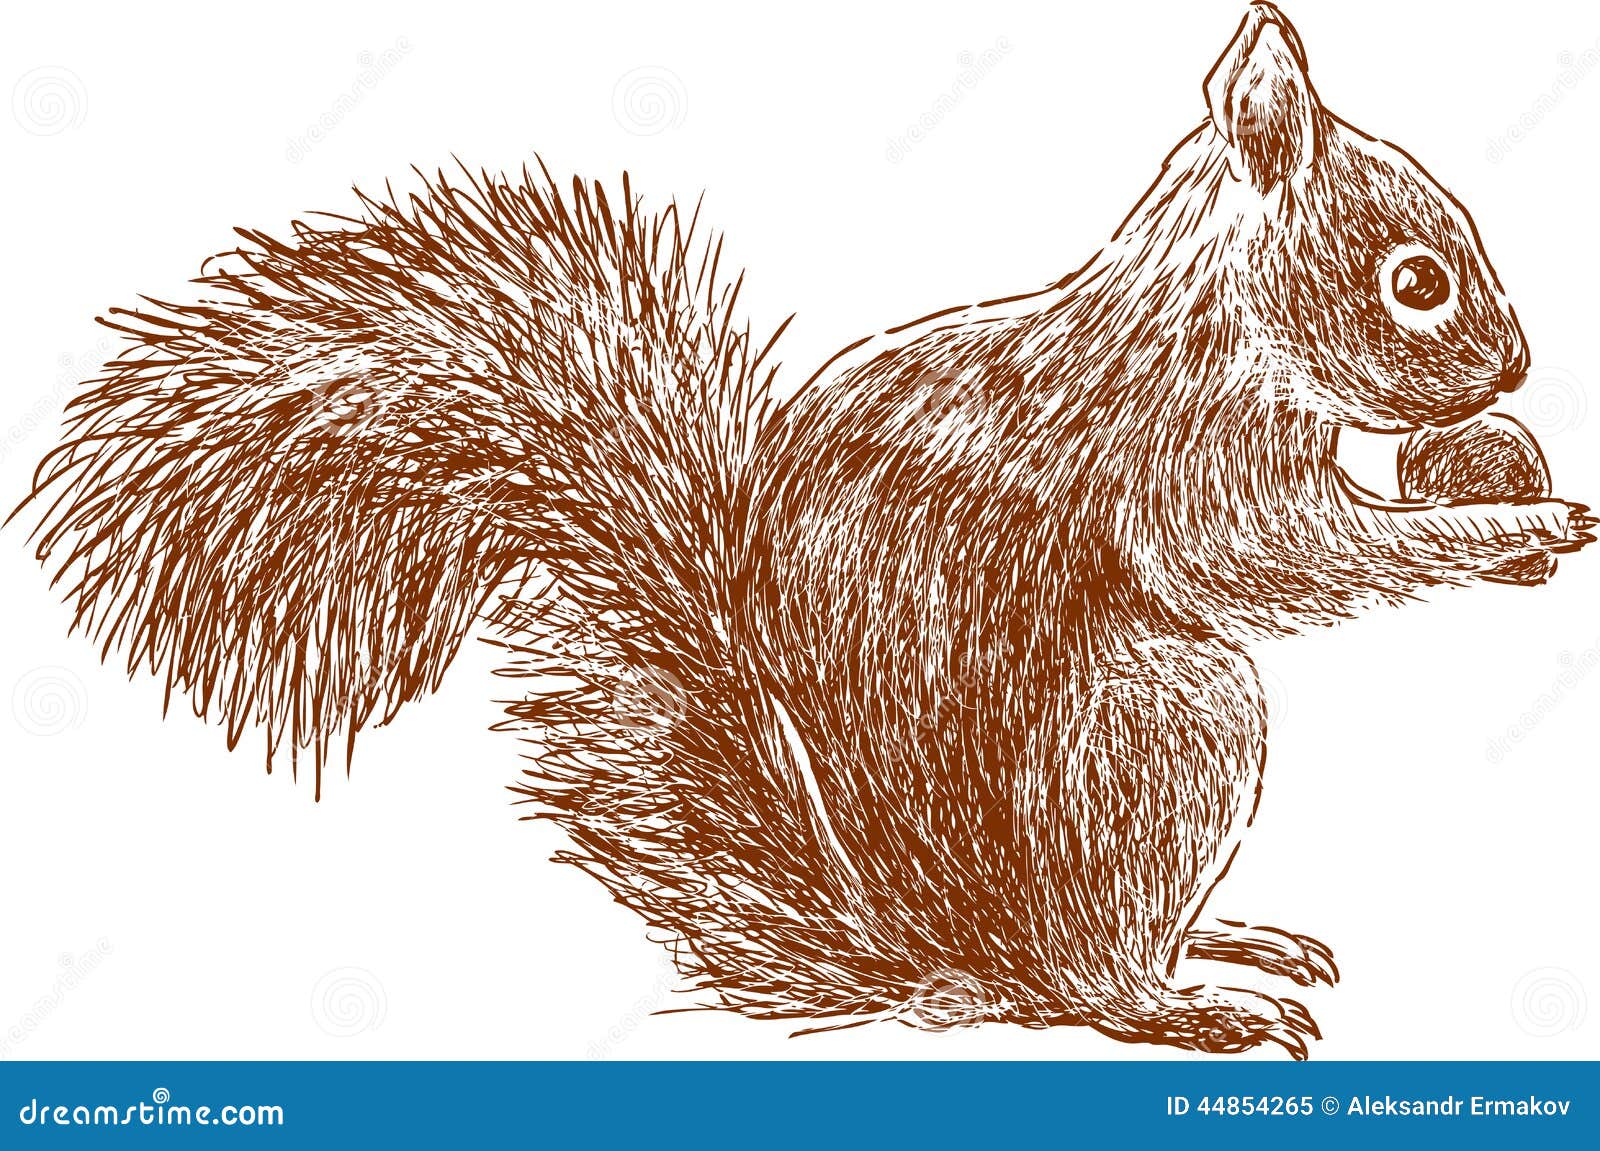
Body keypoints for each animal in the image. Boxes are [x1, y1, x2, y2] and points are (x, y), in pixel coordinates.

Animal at [18, 3, 1593, 1057]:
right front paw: (1525, 517)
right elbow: (1275, 558)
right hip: (1160, 721)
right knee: (1086, 975)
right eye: (1415, 279)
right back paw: (1182, 1001)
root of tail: (941, 949)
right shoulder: (1178, 453)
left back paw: (1227, 931)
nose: (1519, 372)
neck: (1214, 317)